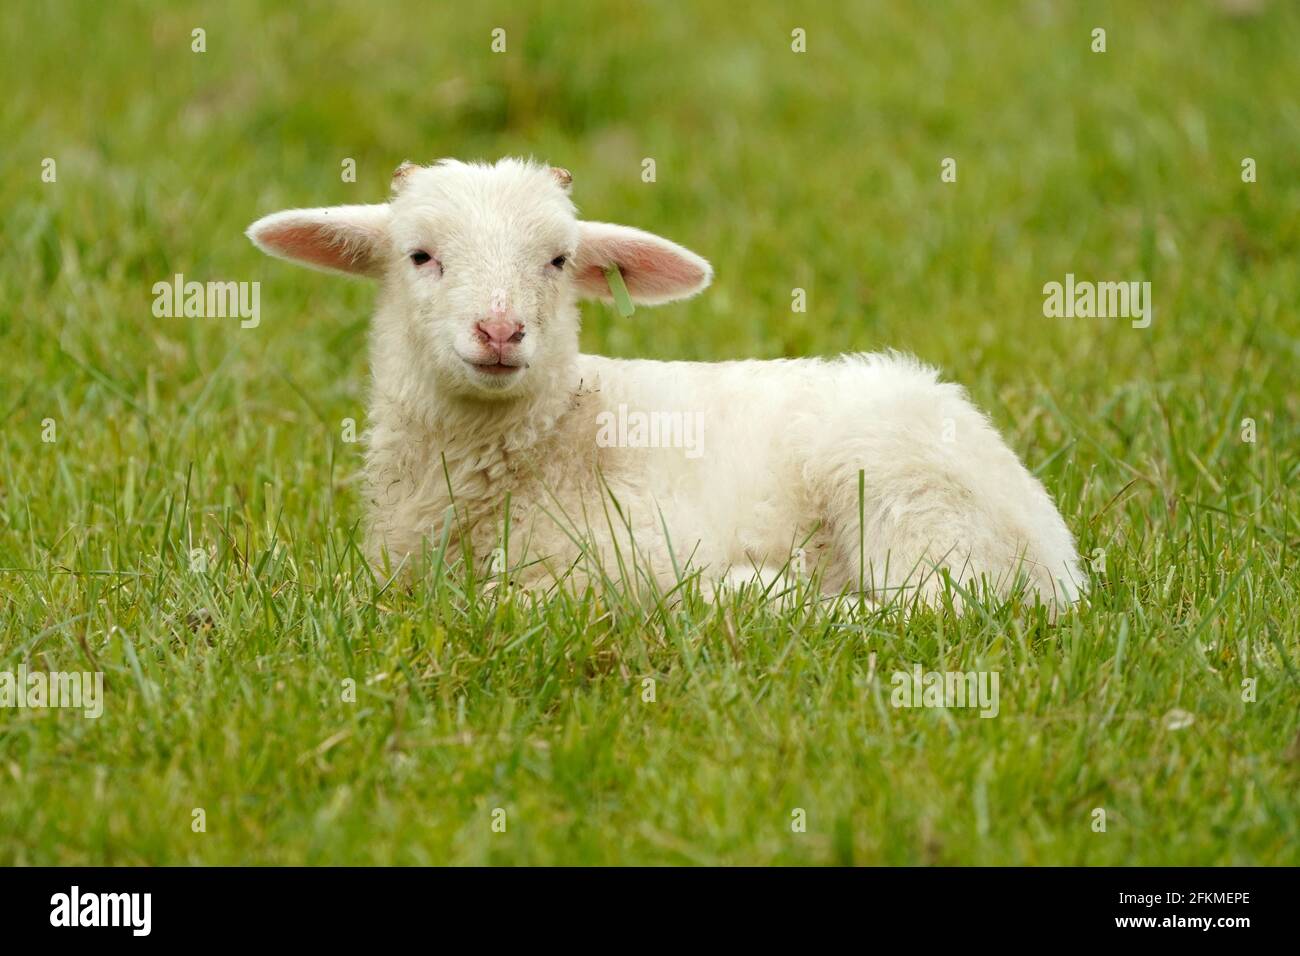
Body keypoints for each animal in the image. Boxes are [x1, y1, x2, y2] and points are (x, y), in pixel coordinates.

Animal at [247, 157, 1084, 610]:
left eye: (558, 260)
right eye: (420, 256)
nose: (500, 331)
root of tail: (1059, 562)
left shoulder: (634, 549)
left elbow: (515, 600)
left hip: (907, 490)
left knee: (933, 609)